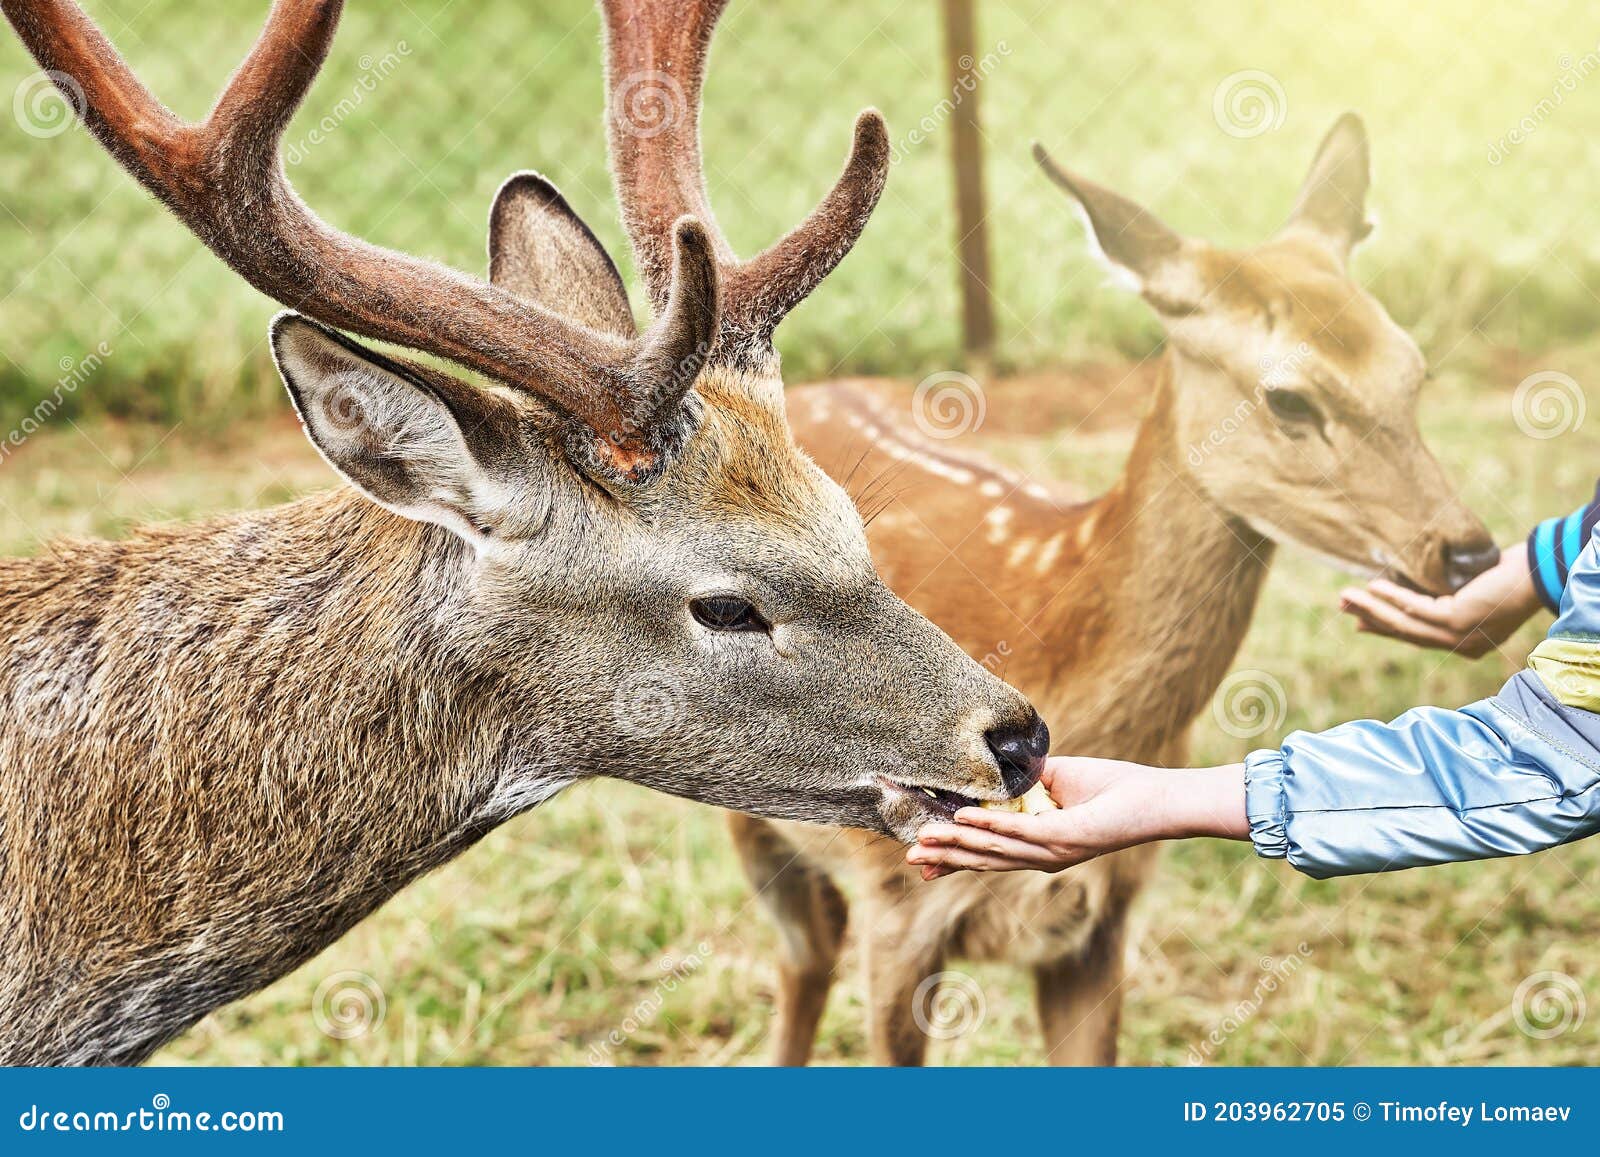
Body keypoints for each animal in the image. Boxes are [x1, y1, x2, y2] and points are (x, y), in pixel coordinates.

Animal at [723, 114, 1500, 1065]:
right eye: (1289, 398)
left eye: (1414, 369)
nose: (1466, 552)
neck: (1052, 623)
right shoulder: (896, 902)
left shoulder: (1100, 915)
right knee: (803, 963)